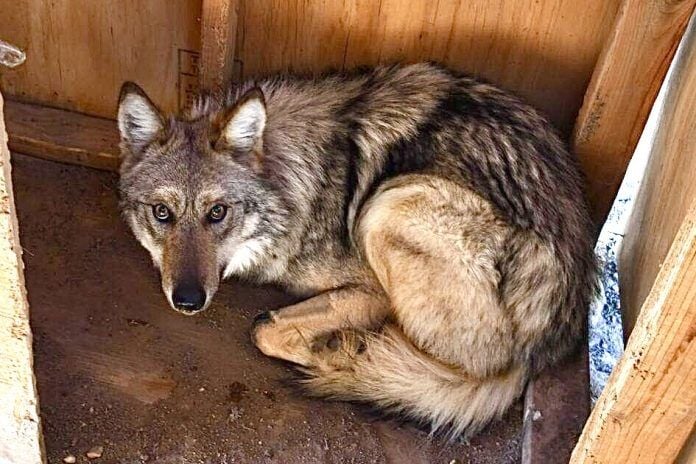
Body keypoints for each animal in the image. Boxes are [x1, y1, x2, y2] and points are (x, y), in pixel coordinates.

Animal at [117, 63, 597, 438]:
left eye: (217, 212)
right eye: (162, 213)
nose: (188, 300)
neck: (293, 180)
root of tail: (539, 352)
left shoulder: (372, 289)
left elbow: (263, 330)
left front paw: (329, 344)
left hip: (389, 206)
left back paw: (348, 354)